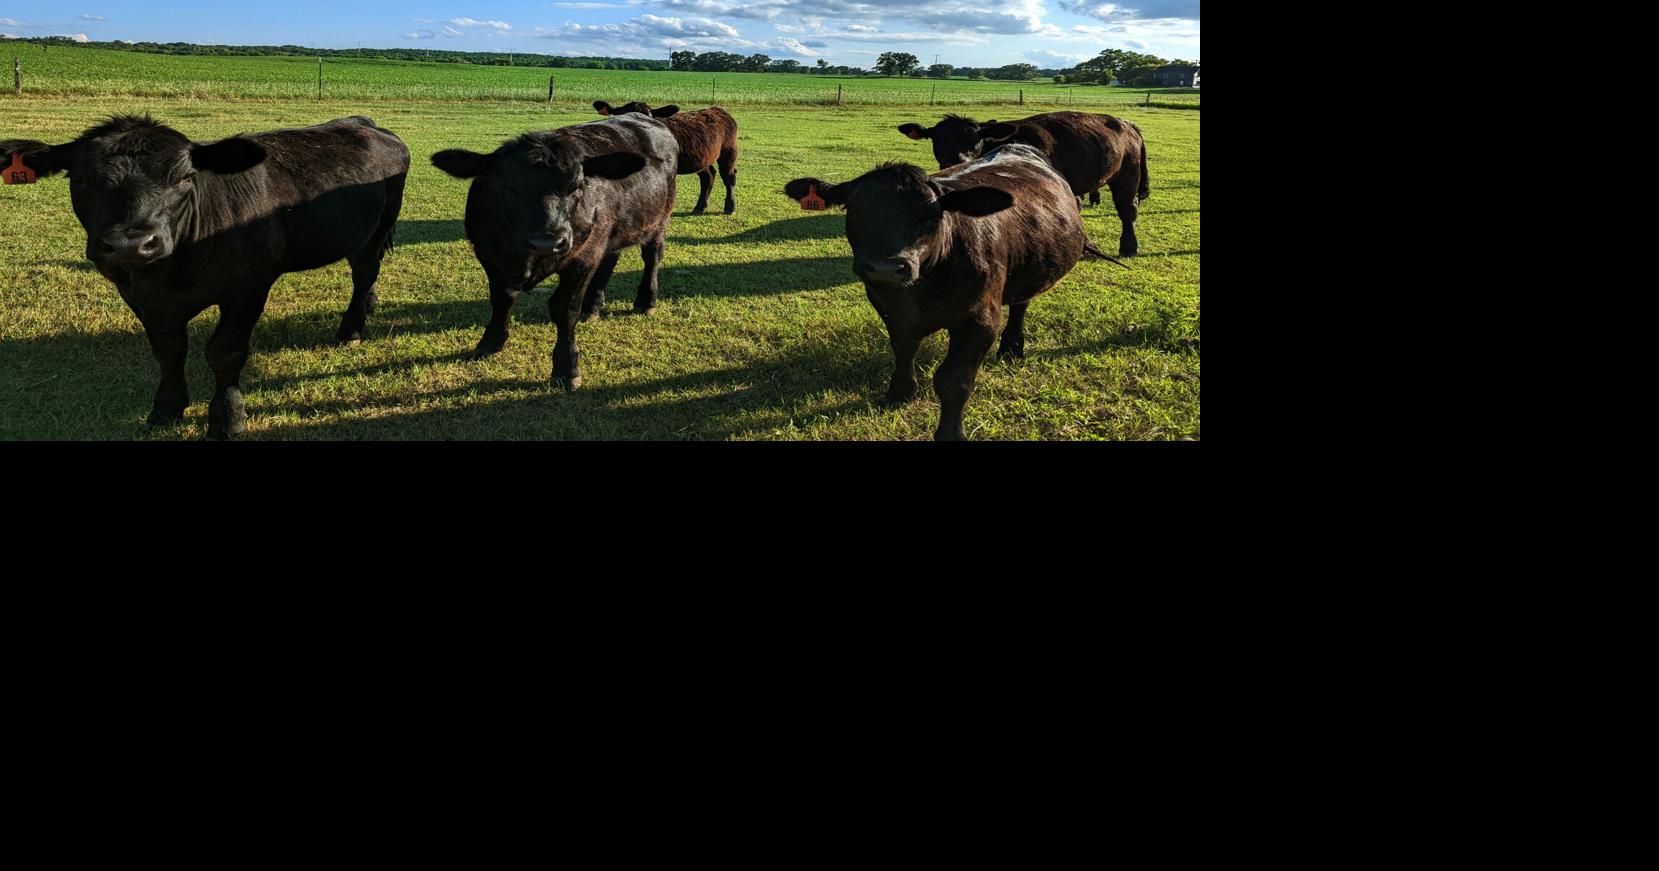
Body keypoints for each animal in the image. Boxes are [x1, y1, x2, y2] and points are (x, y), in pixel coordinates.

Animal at [1, 114, 408, 440]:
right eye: (81, 180)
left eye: (183, 179)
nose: (131, 244)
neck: (168, 273)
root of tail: (364, 123)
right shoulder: (141, 297)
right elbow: (168, 351)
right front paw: (166, 408)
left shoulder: (248, 288)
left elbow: (224, 352)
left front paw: (227, 418)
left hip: (376, 230)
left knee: (364, 272)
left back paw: (351, 328)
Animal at [431, 113, 677, 390]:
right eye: (507, 188)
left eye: (578, 186)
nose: (546, 243)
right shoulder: (488, 254)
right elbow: (501, 299)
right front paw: (491, 342)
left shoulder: (582, 257)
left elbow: (564, 310)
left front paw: (566, 367)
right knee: (609, 259)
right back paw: (592, 307)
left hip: (658, 221)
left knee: (652, 257)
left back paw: (646, 301)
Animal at [594, 100, 739, 215]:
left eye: (648, 118)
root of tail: (719, 110)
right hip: (703, 158)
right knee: (708, 177)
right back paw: (699, 207)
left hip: (729, 151)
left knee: (729, 177)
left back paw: (730, 207)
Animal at [784, 144, 1104, 441]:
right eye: (855, 211)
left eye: (932, 216)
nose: (886, 267)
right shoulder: (887, 308)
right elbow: (903, 349)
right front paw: (900, 392)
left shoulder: (980, 320)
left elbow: (953, 379)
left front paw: (951, 432)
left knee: (1020, 303)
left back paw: (1012, 347)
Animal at [896, 111, 1149, 256]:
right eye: (937, 140)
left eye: (975, 139)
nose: (957, 160)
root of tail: (1127, 124)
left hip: (1128, 174)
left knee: (1128, 210)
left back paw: (1128, 247)